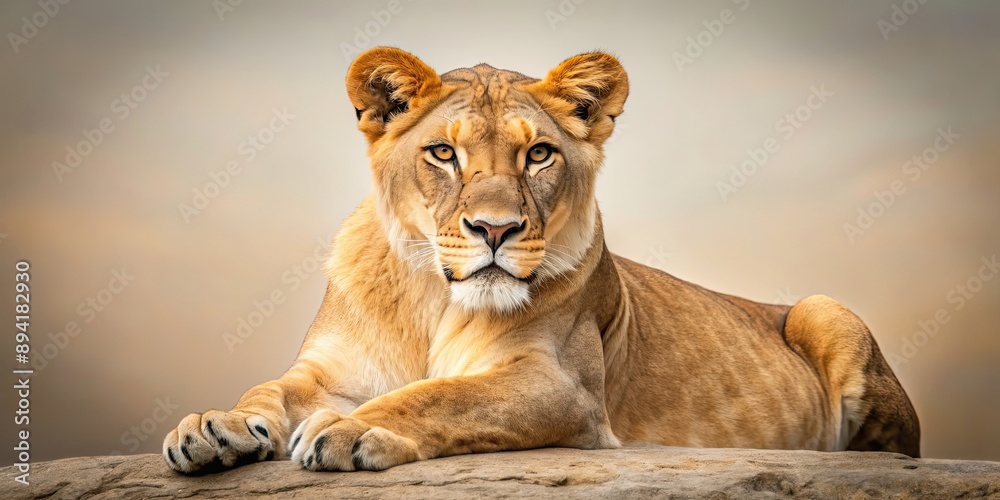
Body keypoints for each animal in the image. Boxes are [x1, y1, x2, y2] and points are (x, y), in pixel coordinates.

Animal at [163, 47, 919, 474]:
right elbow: (269, 389)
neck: (431, 298)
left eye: (538, 154)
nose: (496, 229)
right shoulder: (328, 371)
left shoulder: (562, 386)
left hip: (827, 307)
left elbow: (444, 395)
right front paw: (212, 428)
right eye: (444, 152)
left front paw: (356, 428)